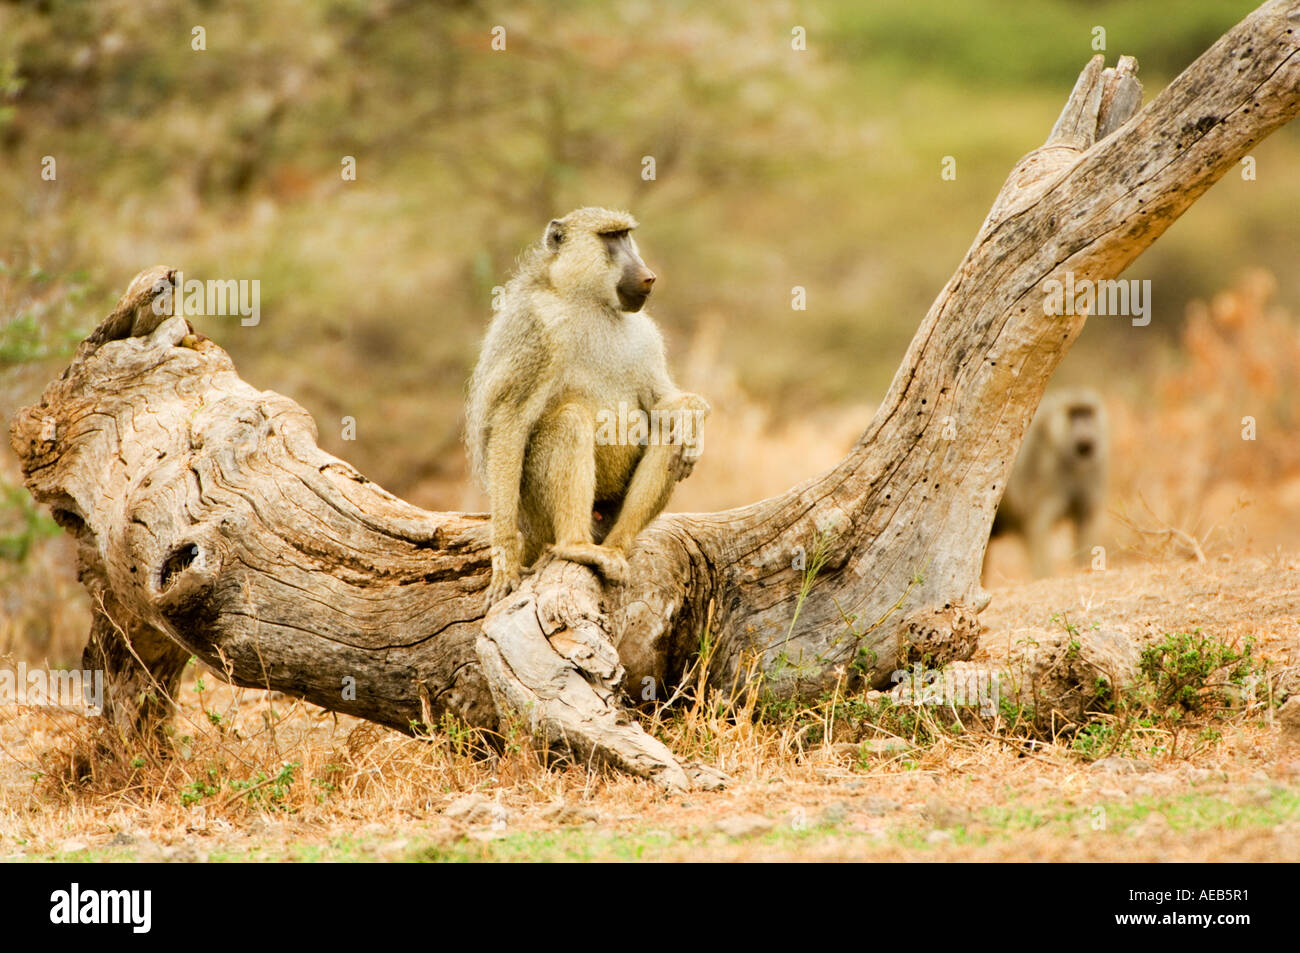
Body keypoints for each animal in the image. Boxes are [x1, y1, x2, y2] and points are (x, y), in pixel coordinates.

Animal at [465, 207, 710, 609]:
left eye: (625, 235)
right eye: (609, 238)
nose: (649, 275)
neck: (591, 303)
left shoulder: (646, 334)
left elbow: (662, 406)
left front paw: (694, 413)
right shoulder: (536, 329)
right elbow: (510, 422)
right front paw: (504, 563)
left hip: (607, 514)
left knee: (668, 429)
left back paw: (617, 547)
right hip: (535, 511)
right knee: (569, 420)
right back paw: (575, 546)